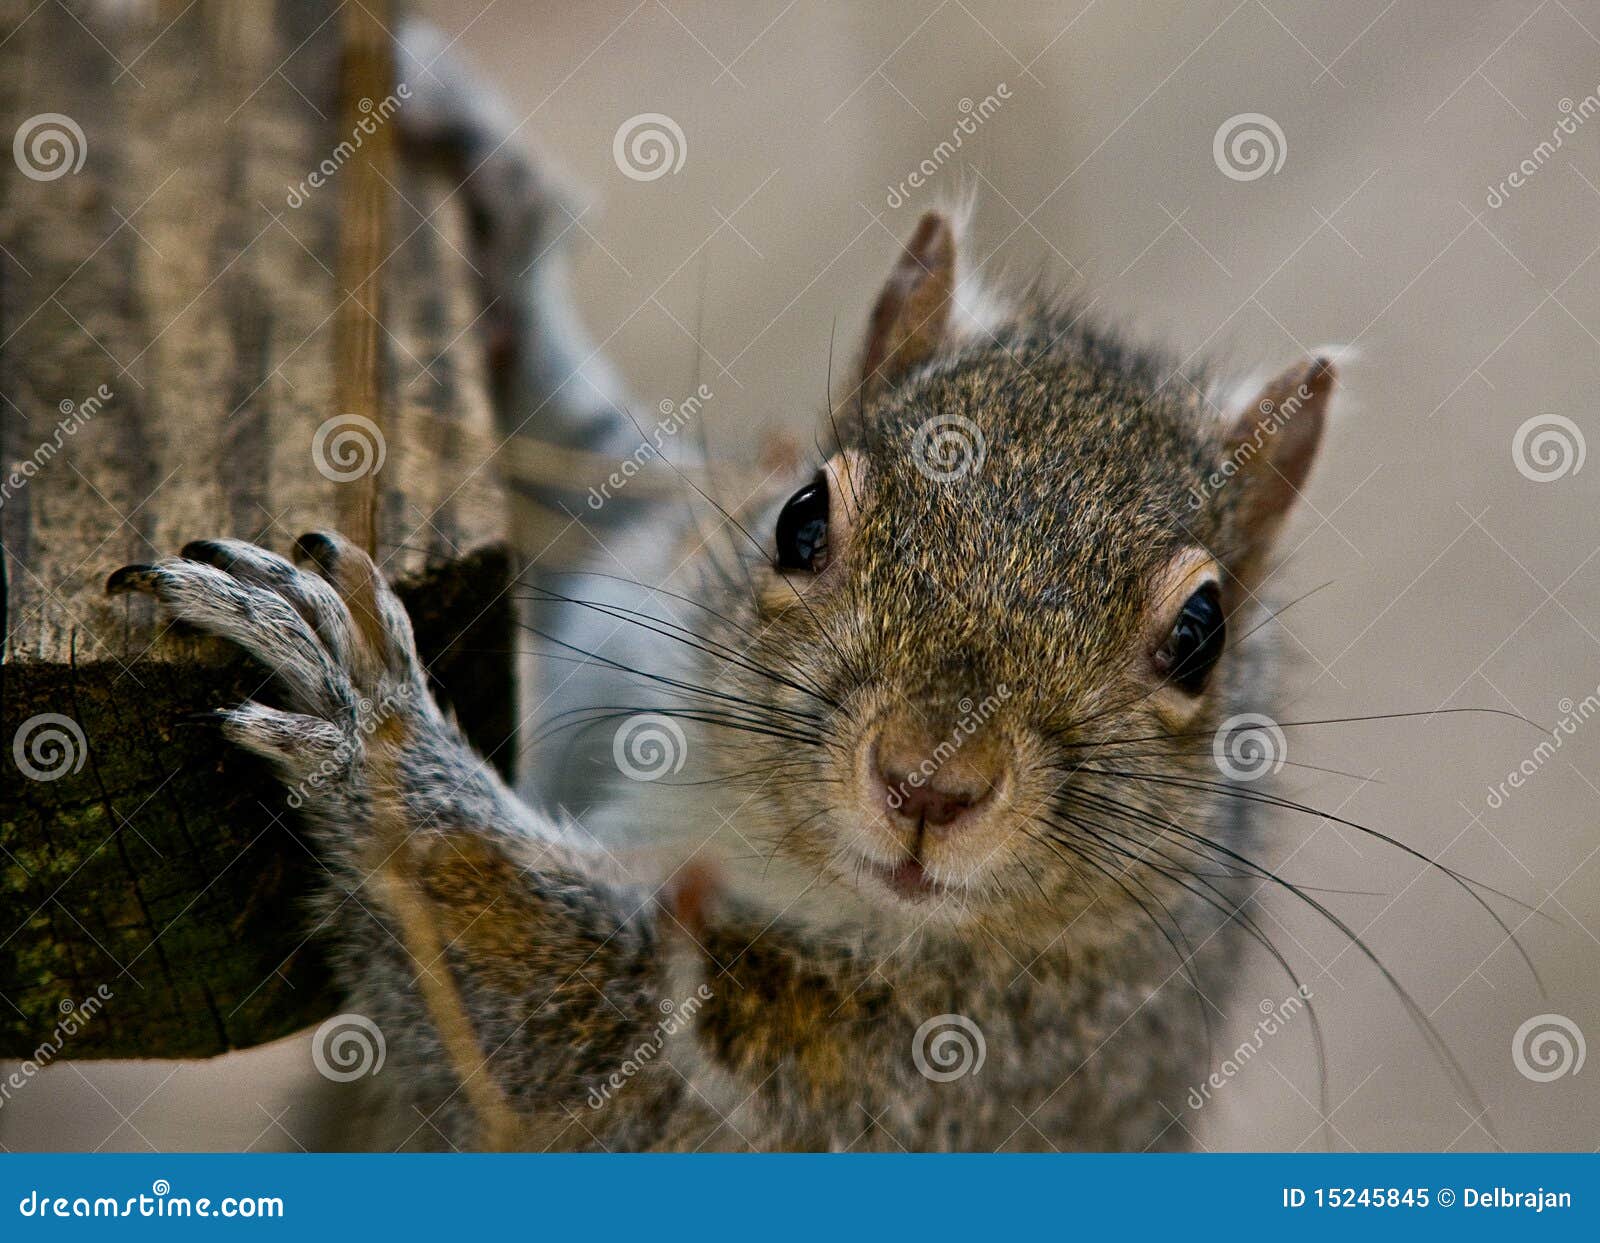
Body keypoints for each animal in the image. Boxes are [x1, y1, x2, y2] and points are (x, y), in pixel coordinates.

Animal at [107, 207, 1336, 1152]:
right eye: (799, 516)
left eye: (1201, 634)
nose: (928, 783)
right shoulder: (635, 599)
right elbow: (587, 488)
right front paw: (493, 212)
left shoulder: (943, 1069)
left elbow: (572, 1054)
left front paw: (371, 727)